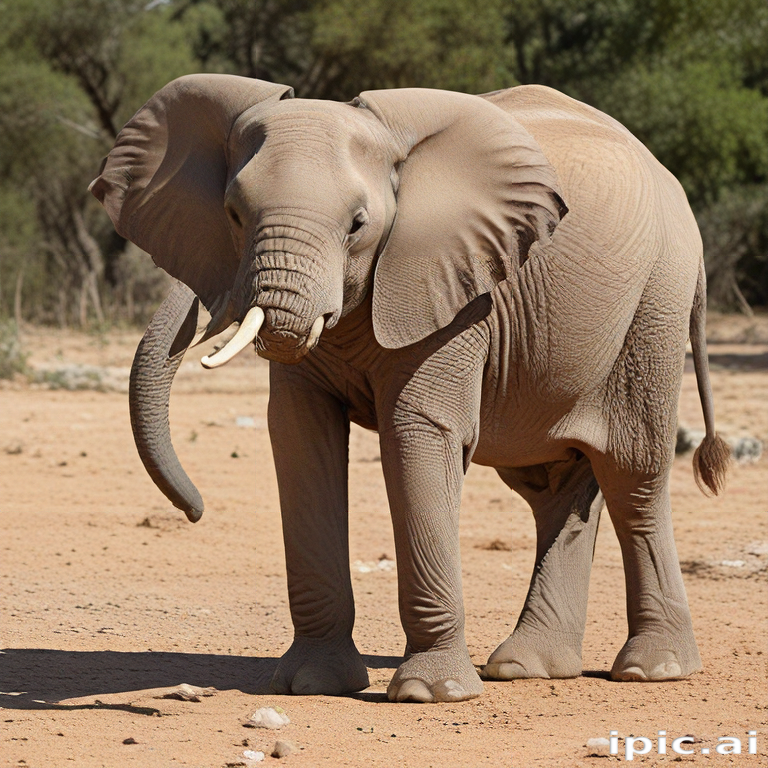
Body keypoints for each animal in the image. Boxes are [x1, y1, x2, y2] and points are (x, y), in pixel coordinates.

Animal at [91, 74, 730, 703]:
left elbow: (417, 431)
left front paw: (432, 692)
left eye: (357, 225)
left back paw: (653, 670)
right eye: (233, 214)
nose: (195, 510)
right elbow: (301, 437)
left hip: (655, 304)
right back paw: (527, 669)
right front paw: (310, 686)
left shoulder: (452, 286)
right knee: (552, 486)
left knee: (632, 477)